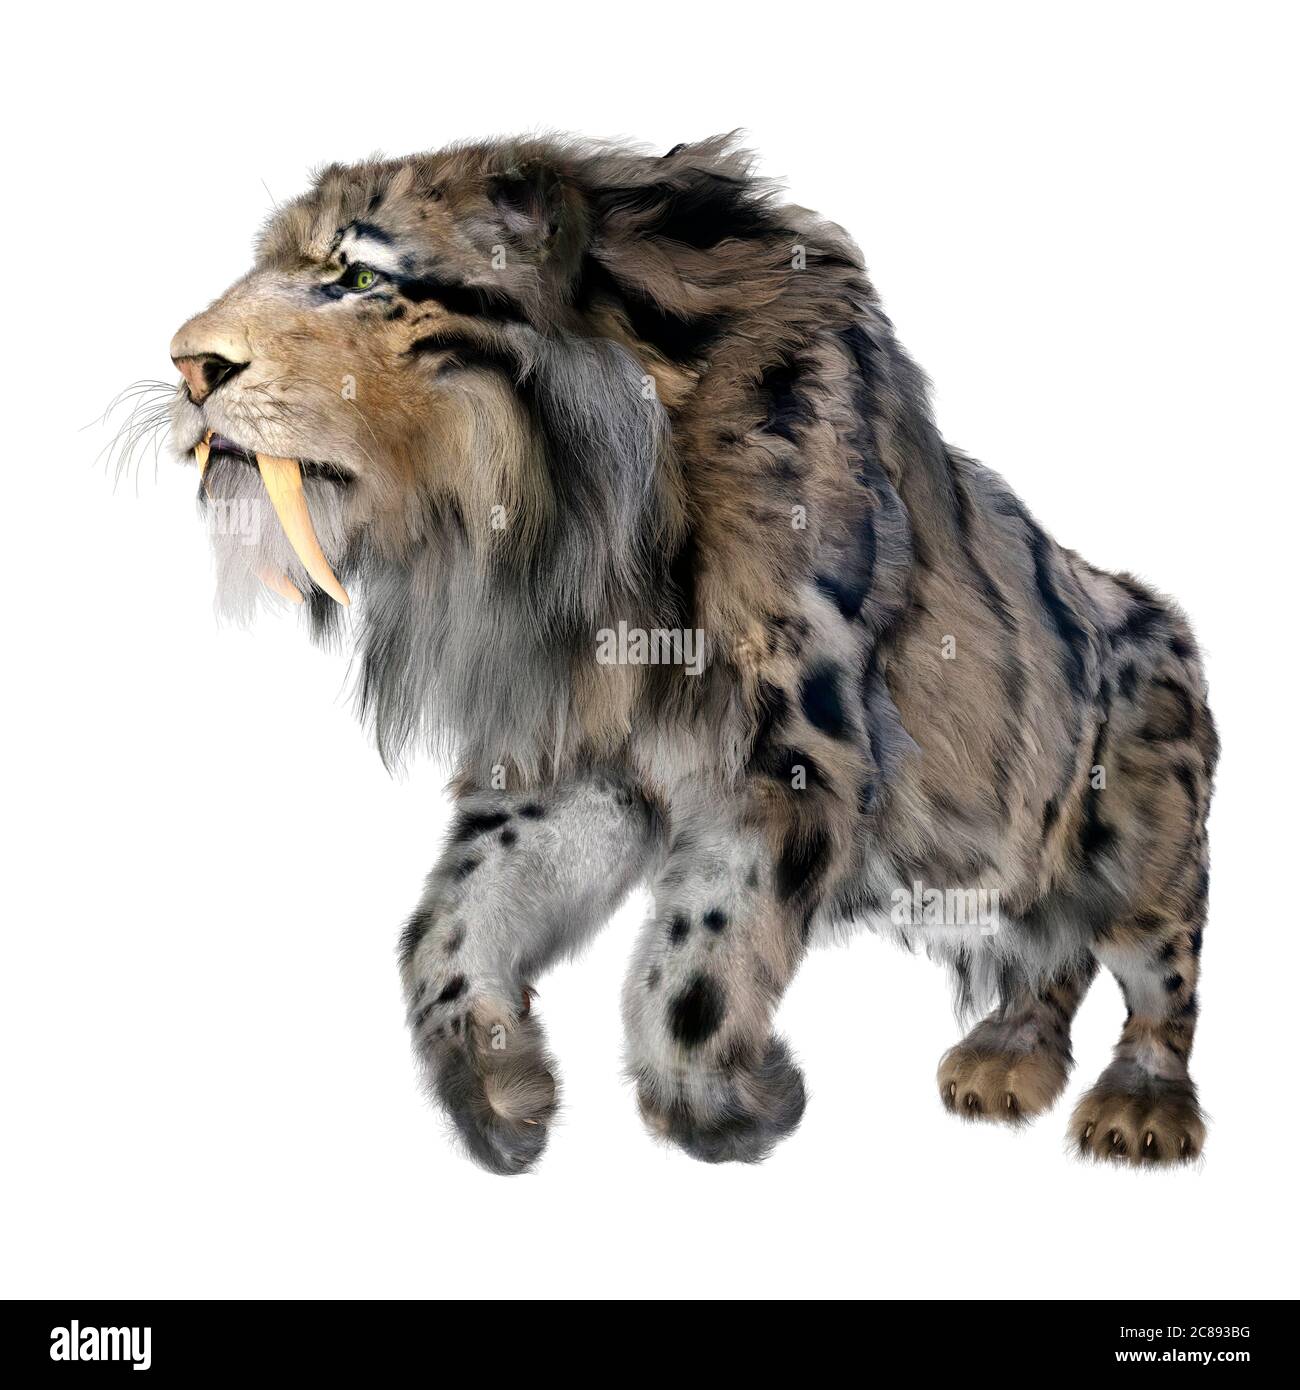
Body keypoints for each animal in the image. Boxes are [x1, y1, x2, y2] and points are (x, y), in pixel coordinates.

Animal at [165, 134, 1217, 1173]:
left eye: (355, 275)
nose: (186, 366)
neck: (565, 523)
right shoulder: (575, 769)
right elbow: (449, 921)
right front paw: (498, 1085)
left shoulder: (794, 755)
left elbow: (698, 955)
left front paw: (727, 1106)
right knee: (1053, 957)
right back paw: (1005, 1063)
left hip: (1147, 847)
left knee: (1159, 980)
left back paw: (1138, 1113)